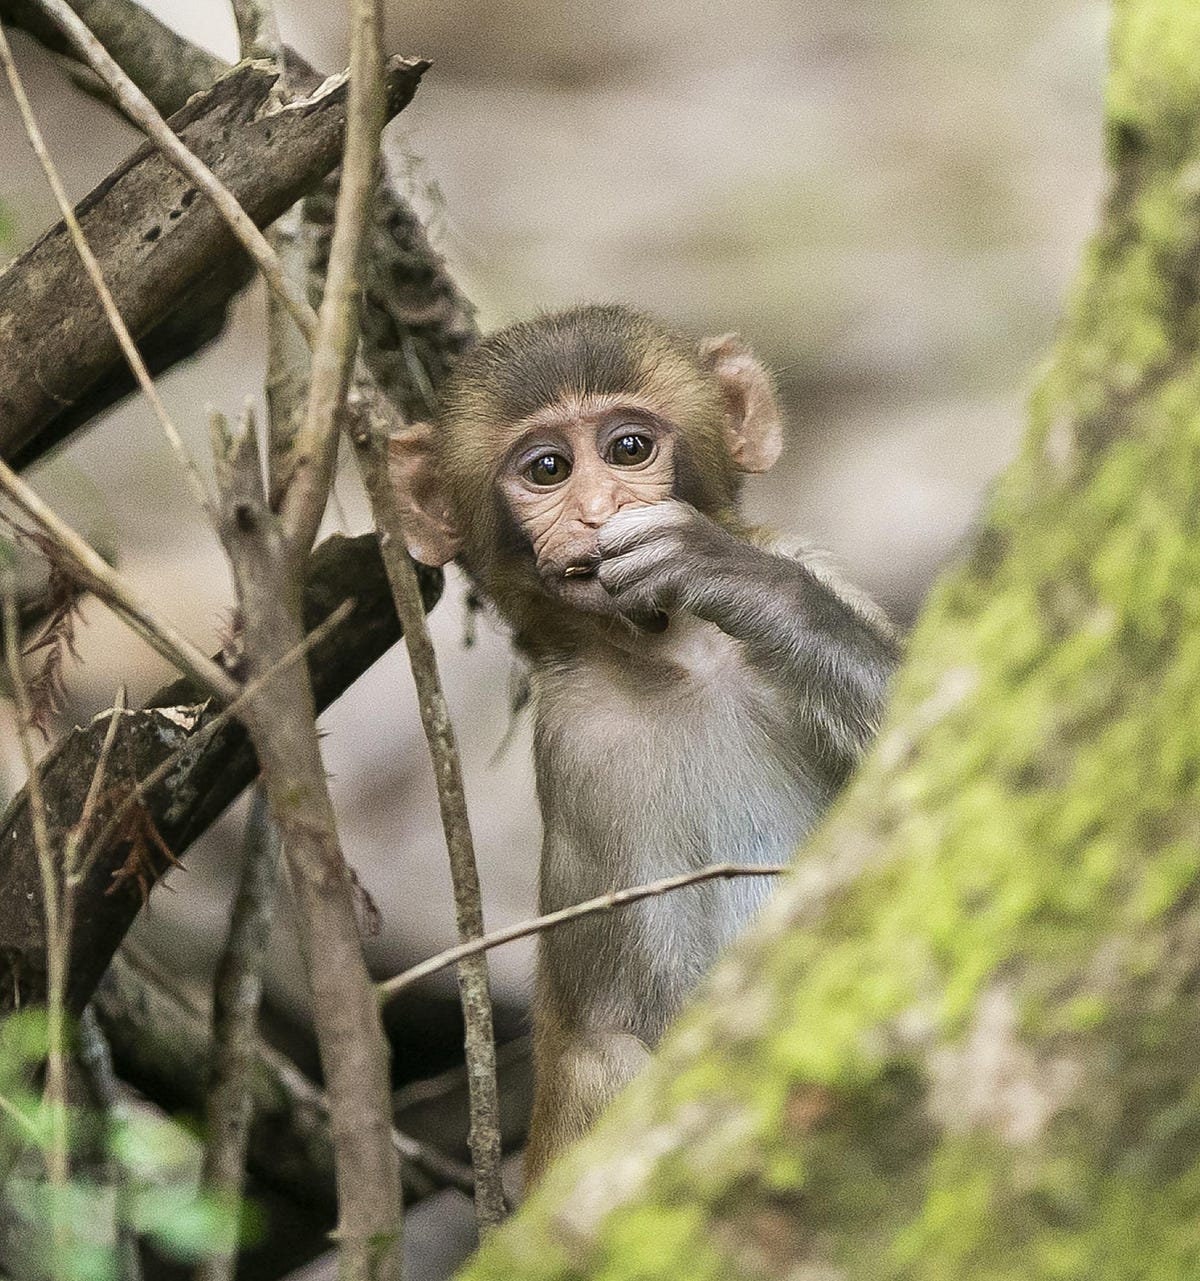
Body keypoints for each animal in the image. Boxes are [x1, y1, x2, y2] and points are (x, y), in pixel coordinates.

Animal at [388, 304, 899, 1186]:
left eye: (630, 448)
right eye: (548, 468)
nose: (598, 511)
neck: (675, 655)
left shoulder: (824, 572)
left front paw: (741, 581)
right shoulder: (586, 750)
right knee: (610, 1058)